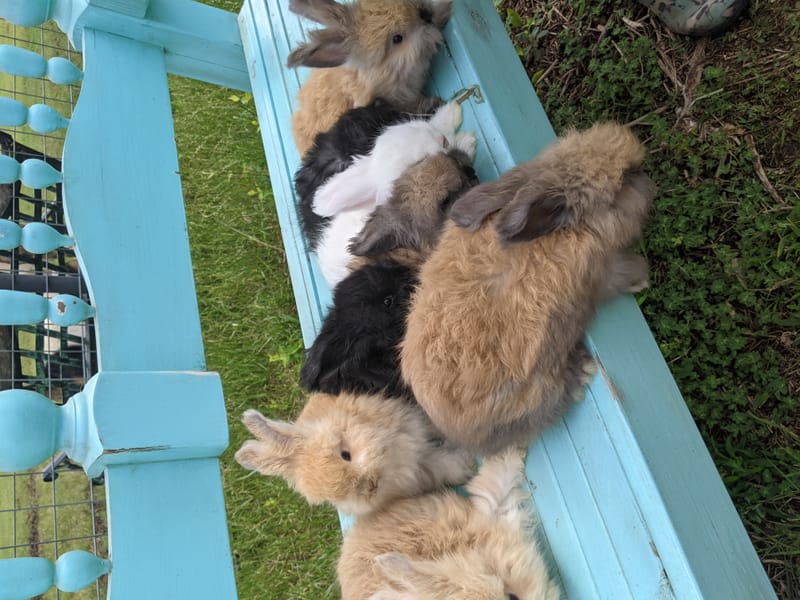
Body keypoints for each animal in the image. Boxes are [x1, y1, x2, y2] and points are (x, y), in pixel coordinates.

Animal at [234, 391, 475, 516]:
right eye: (334, 497)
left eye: (345, 454)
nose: (371, 487)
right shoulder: (418, 473)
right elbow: (440, 468)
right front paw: (466, 465)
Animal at [401, 122, 656, 455]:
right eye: (623, 183)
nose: (650, 182)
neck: (570, 230)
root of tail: (455, 430)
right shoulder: (603, 272)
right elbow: (620, 275)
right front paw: (642, 276)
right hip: (540, 391)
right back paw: (582, 369)